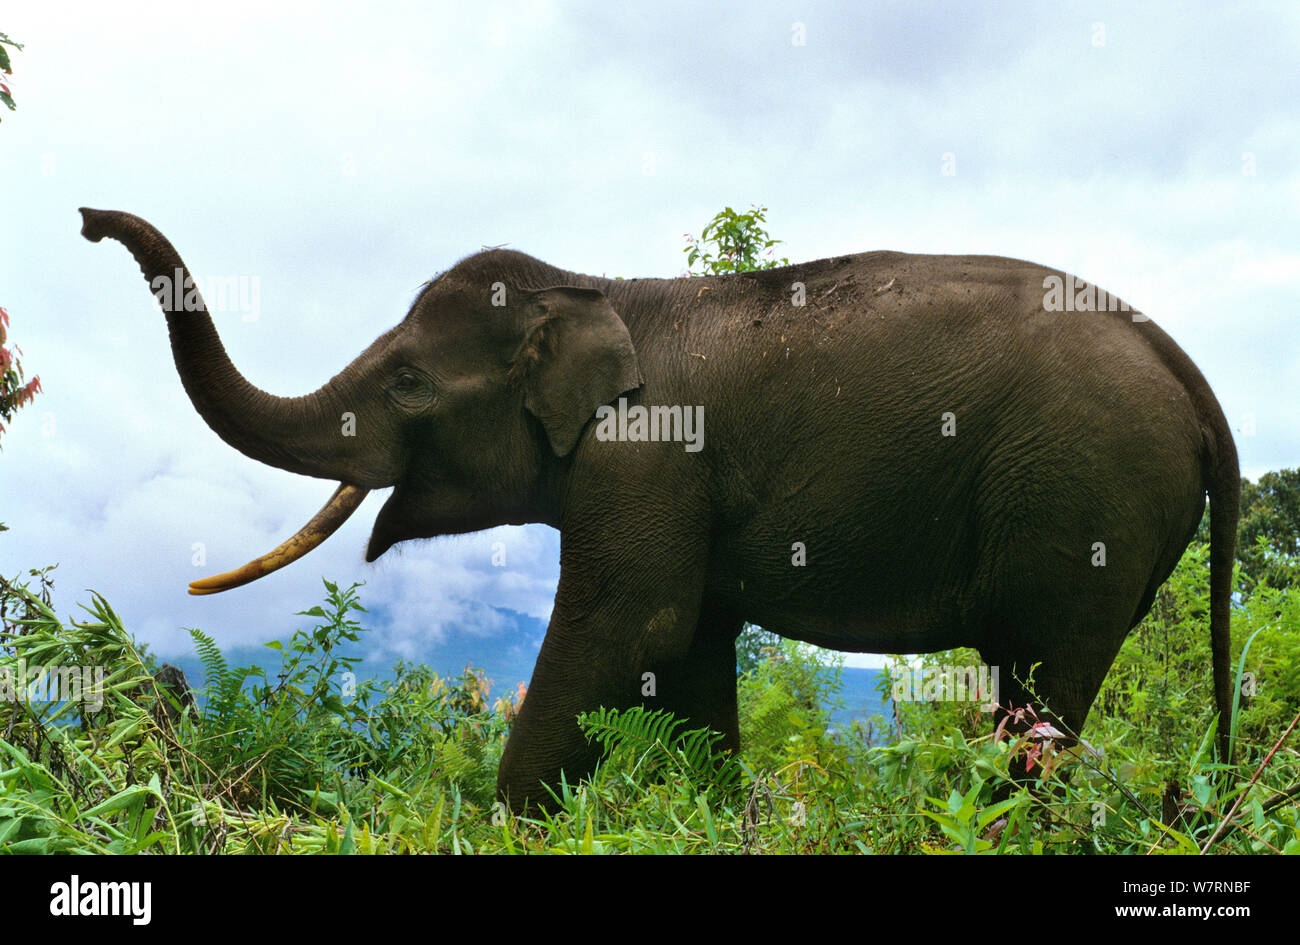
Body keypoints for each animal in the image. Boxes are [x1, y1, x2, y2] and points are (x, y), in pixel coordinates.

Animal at [79, 208, 1239, 810]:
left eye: (407, 383)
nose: (88, 223)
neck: (593, 285)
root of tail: (1194, 382)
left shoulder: (647, 459)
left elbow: (630, 627)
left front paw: (510, 822)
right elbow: (689, 652)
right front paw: (715, 812)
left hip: (1083, 492)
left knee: (1041, 678)